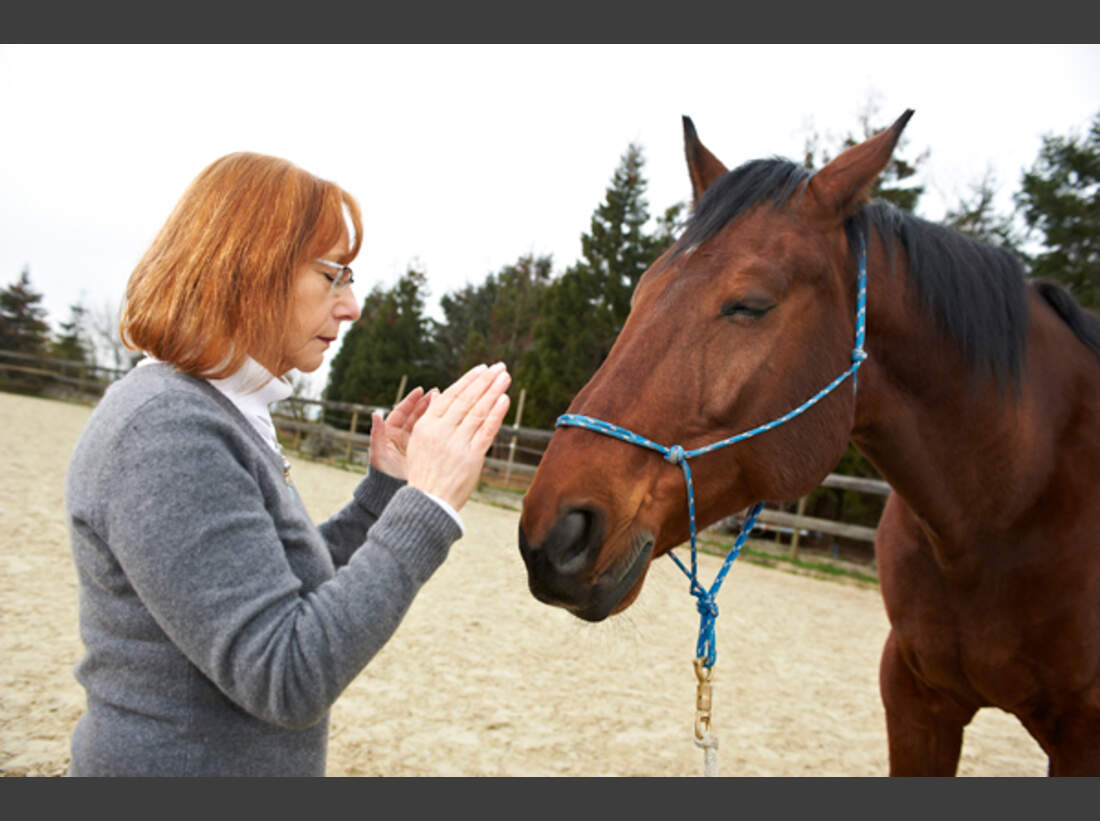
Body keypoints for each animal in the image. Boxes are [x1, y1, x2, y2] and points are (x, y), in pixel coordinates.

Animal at [517, 111, 1100, 776]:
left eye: (750, 305)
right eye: (641, 293)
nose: (552, 535)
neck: (1011, 506)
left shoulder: (1081, 736)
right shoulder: (916, 700)